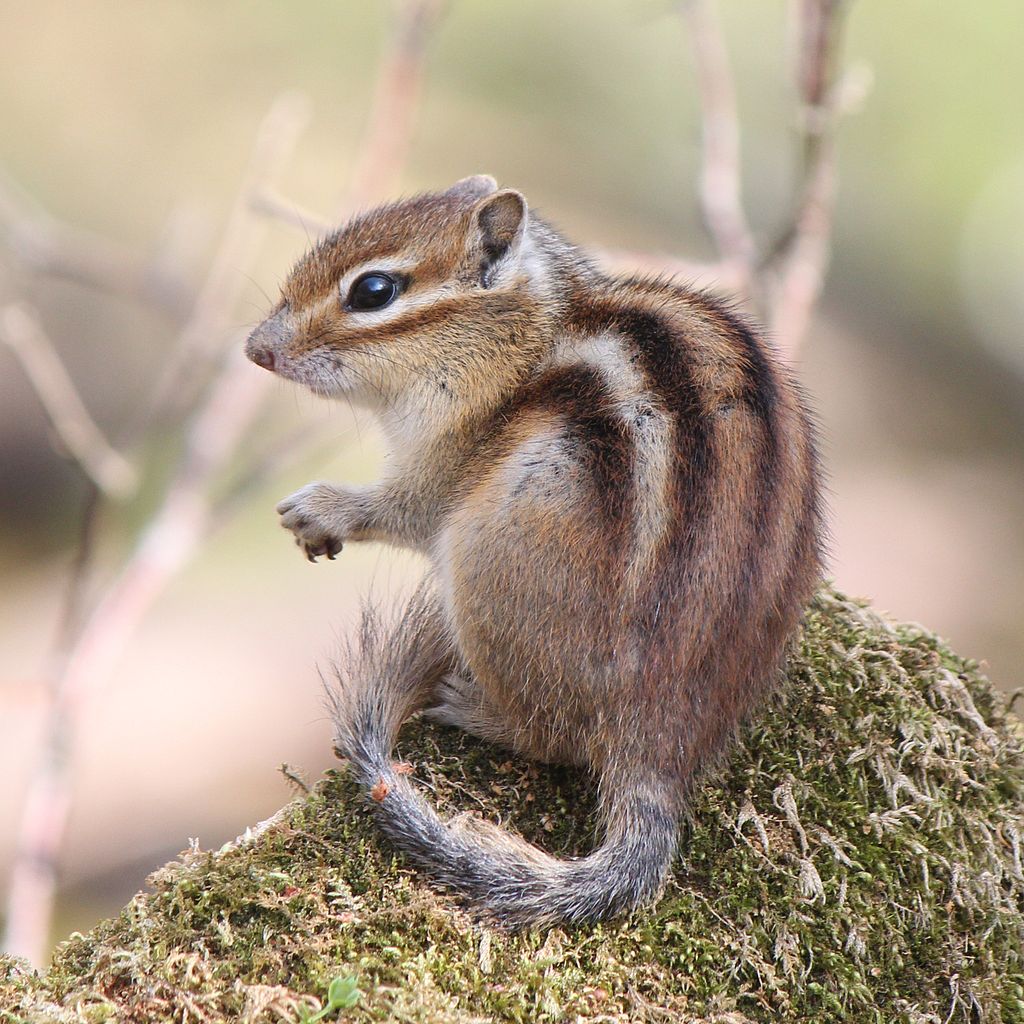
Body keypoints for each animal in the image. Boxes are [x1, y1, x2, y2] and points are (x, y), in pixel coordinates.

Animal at [246, 175, 823, 927]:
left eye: (373, 291)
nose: (255, 349)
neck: (526, 331)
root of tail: (659, 740)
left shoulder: (447, 460)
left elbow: (404, 509)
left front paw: (320, 508)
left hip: (487, 550)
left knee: (550, 738)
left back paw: (468, 703)